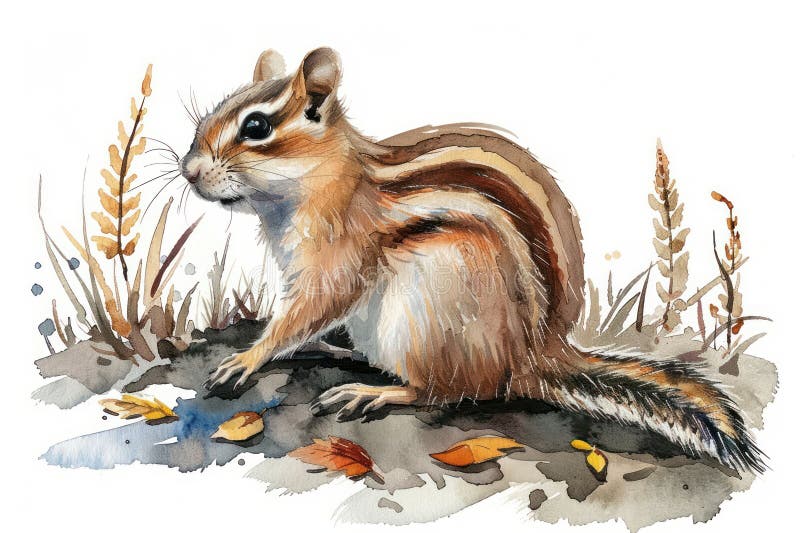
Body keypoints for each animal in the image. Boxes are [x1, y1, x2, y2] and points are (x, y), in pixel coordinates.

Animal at [181, 47, 764, 472]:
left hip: (426, 313)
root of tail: (534, 357)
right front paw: (290, 344)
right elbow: (304, 318)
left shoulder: (340, 255)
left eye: (256, 128)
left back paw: (373, 392)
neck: (328, 177)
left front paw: (249, 357)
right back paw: (341, 351)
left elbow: (315, 305)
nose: (187, 171)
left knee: (447, 391)